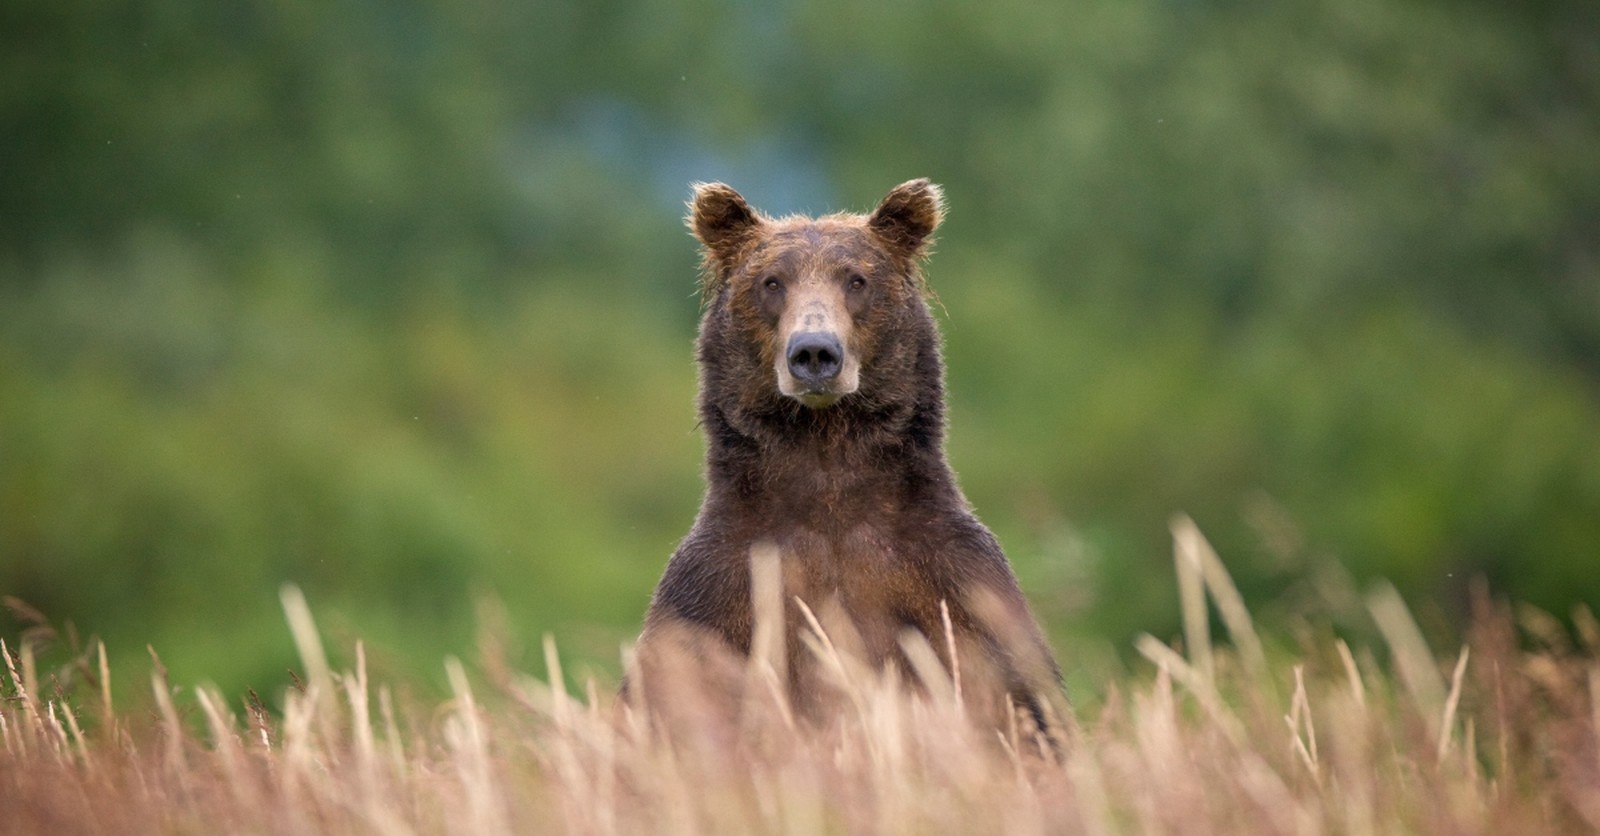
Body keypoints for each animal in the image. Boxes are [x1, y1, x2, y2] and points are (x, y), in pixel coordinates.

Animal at [630, 178, 1062, 740]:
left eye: (856, 279)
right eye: (771, 282)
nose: (815, 352)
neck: (827, 463)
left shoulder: (954, 583)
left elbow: (1024, 706)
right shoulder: (716, 592)